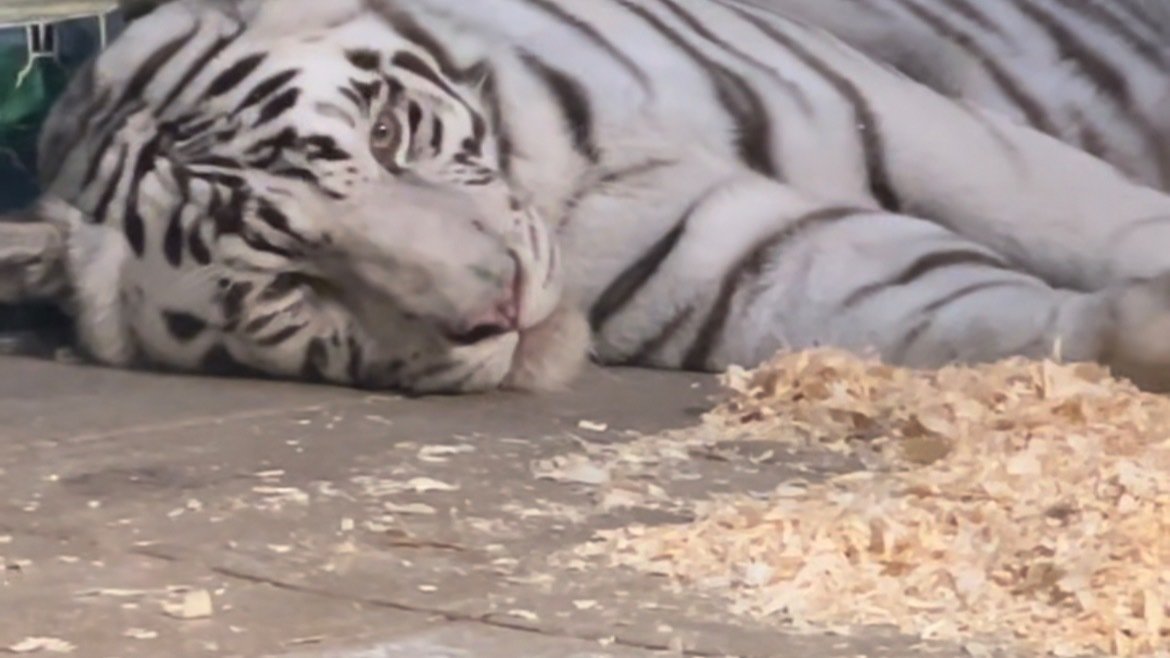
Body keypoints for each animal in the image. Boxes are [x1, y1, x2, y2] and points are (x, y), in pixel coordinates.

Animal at [5, 0, 1170, 395]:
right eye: (294, 288)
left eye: (385, 136)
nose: (504, 305)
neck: (558, 173)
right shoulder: (740, 260)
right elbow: (963, 311)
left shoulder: (878, 112)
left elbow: (1064, 206)